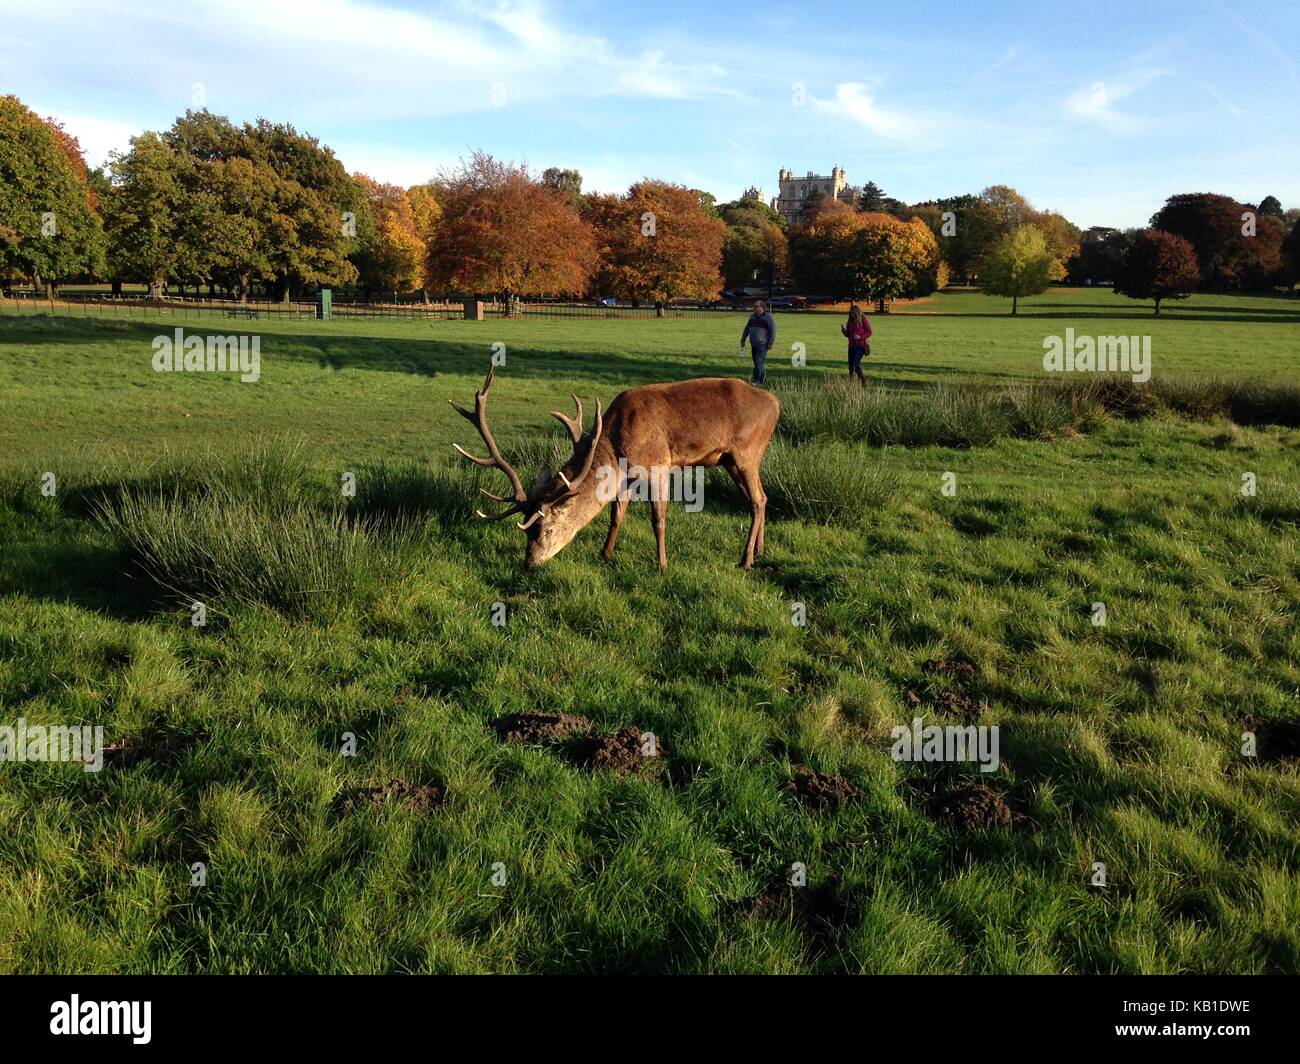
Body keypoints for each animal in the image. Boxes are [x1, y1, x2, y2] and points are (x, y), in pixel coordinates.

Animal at [450, 366, 780, 571]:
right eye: (526, 530)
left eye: (546, 529)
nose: (529, 563)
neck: (616, 443)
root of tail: (775, 403)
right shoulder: (627, 476)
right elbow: (616, 513)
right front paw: (606, 553)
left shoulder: (659, 464)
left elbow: (658, 518)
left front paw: (662, 564)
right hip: (731, 460)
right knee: (761, 499)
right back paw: (760, 550)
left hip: (747, 451)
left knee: (757, 499)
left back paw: (746, 559)